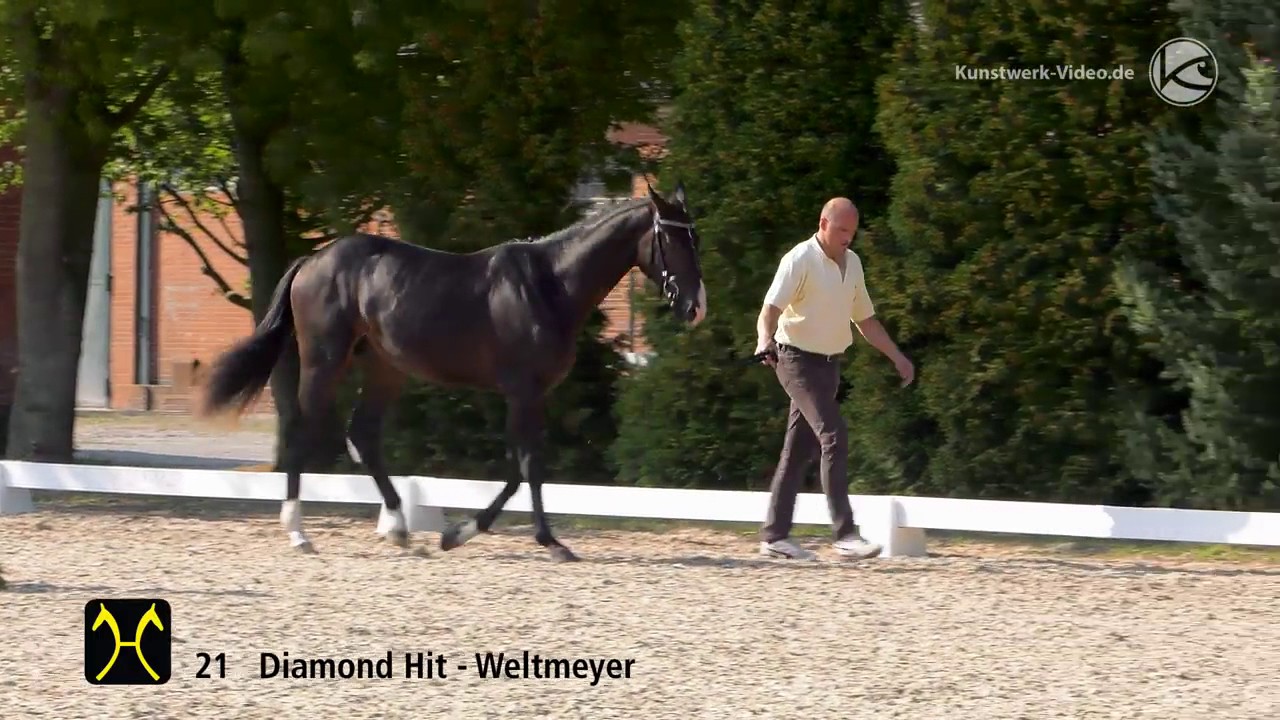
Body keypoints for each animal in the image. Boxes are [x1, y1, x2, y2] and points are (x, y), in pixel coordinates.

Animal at [196, 182, 706, 562]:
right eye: (671, 239)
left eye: (694, 238)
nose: (696, 307)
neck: (550, 285)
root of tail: (312, 261)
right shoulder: (522, 392)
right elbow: (528, 466)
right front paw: (534, 541)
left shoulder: (532, 395)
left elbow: (521, 467)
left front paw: (457, 534)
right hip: (325, 361)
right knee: (302, 431)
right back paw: (299, 533)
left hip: (385, 368)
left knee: (364, 436)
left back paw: (399, 529)